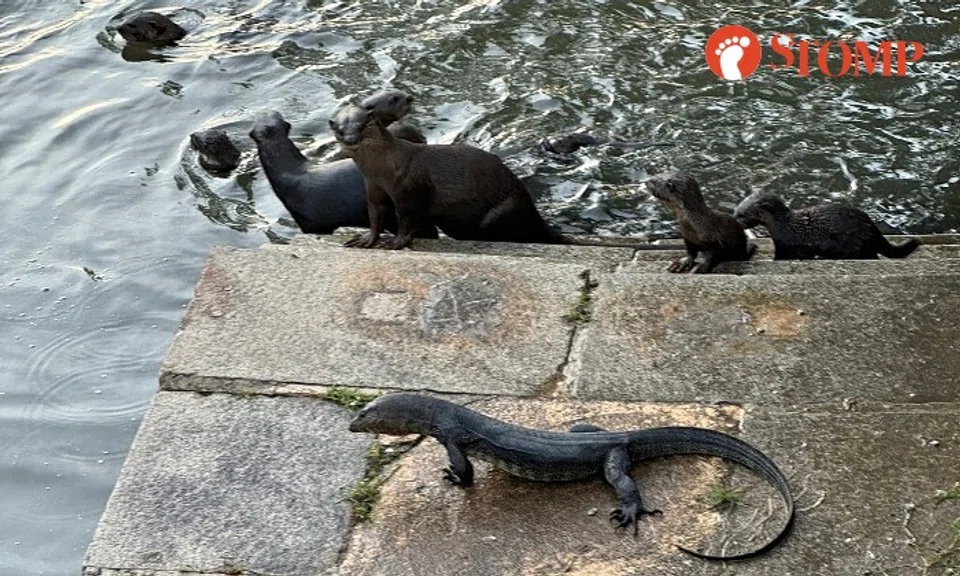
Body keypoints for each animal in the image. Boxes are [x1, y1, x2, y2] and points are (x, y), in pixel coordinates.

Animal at [734, 191, 921, 260]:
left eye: (741, 214)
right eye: (736, 210)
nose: (734, 219)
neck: (784, 227)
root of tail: (872, 229)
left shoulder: (784, 246)